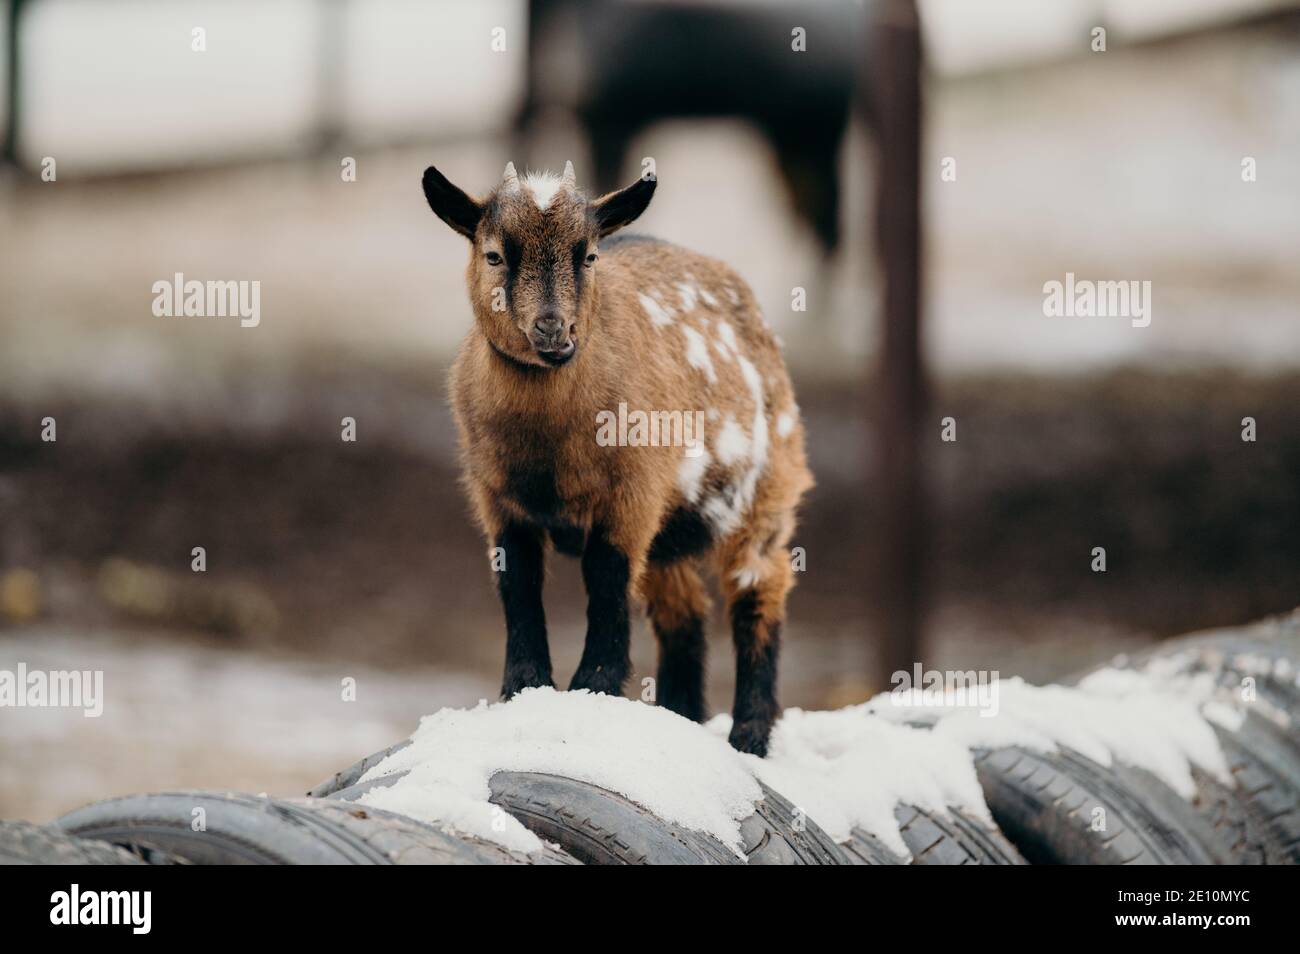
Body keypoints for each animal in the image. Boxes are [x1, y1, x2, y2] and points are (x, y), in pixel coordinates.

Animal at [421, 160, 812, 755]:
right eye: (493, 255)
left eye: (588, 255)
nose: (553, 330)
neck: (548, 443)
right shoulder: (497, 497)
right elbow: (518, 582)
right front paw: (524, 686)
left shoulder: (632, 493)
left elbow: (606, 576)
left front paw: (594, 685)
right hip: (673, 535)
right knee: (684, 613)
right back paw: (680, 717)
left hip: (767, 491)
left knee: (757, 594)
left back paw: (749, 734)